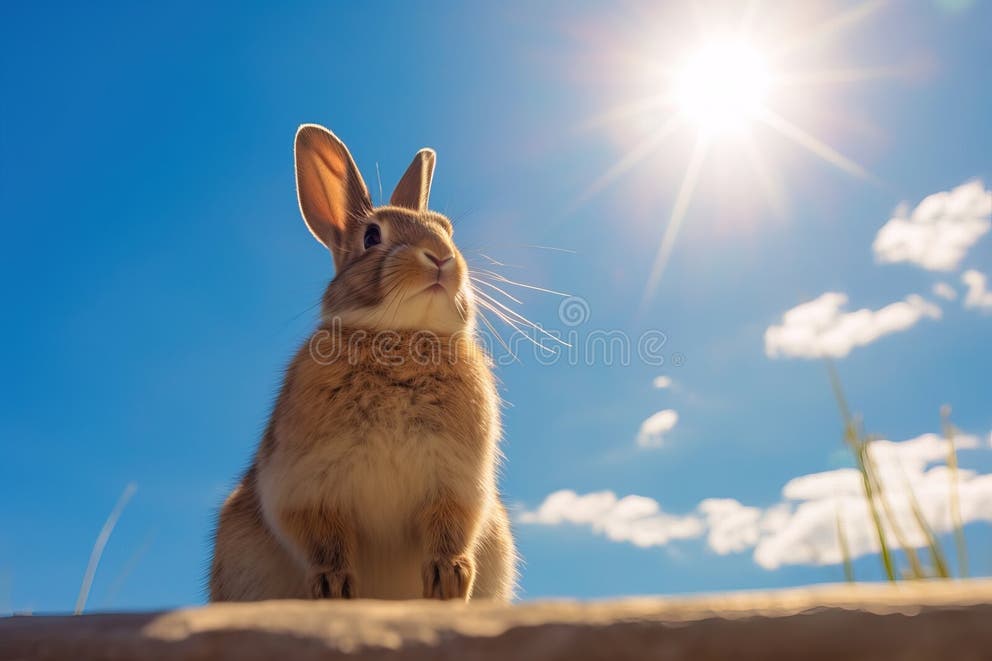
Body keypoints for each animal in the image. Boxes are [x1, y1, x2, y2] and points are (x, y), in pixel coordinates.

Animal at [208, 124, 517, 602]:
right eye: (372, 237)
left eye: (446, 230)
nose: (441, 257)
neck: (400, 340)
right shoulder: (308, 489)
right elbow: (326, 541)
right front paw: (334, 588)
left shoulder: (455, 485)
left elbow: (450, 531)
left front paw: (450, 580)